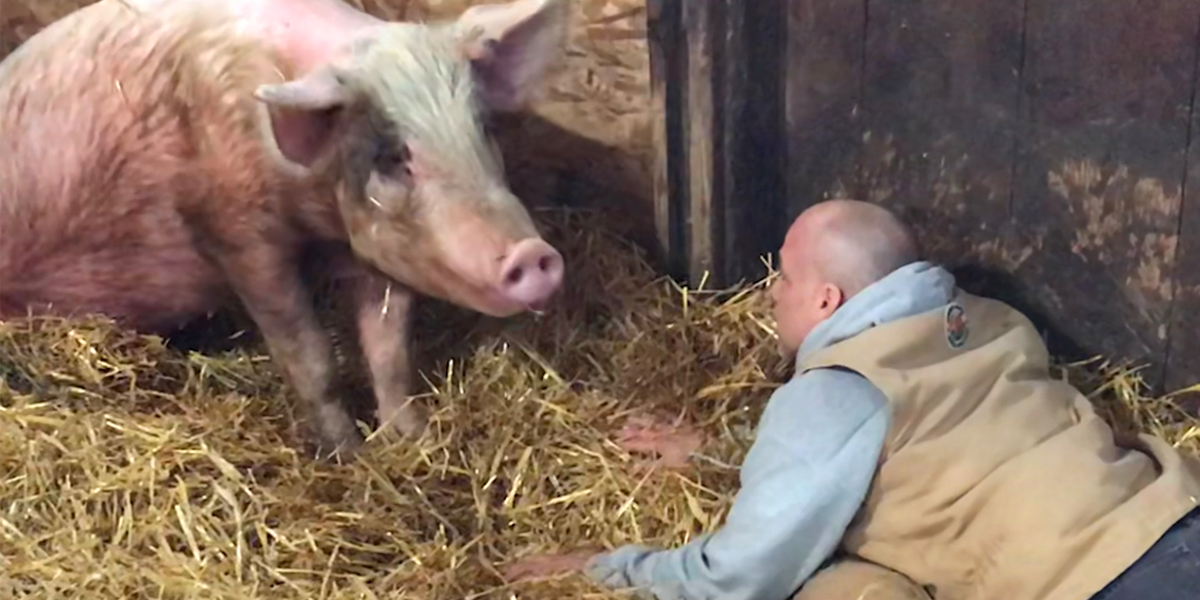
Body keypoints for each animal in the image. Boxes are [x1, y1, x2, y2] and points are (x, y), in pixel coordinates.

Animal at [0, 0, 569, 459]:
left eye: (484, 130)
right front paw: (347, 455)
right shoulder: (237, 231)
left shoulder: (379, 253)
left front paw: (413, 440)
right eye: (392, 156)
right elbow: (311, 355)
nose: (533, 255)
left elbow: (390, 353)